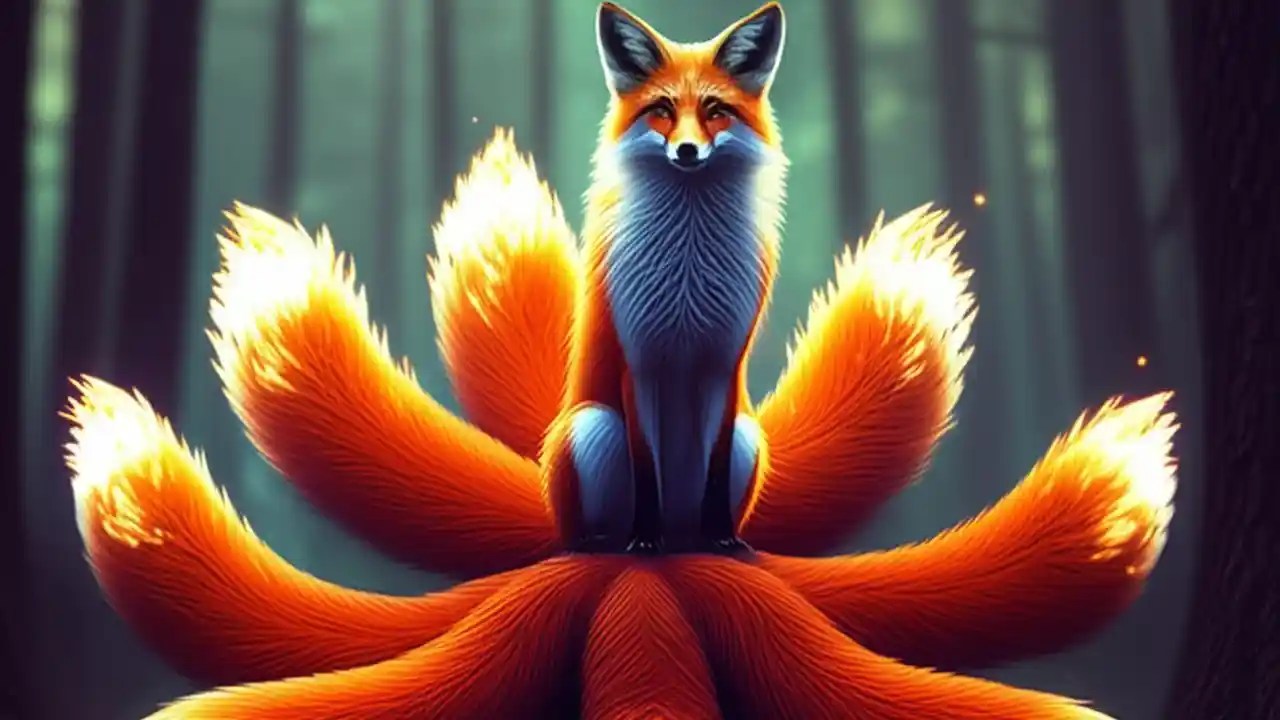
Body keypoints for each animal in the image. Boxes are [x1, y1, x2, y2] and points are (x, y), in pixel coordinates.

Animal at [541, 2, 789, 554]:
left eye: (716, 111)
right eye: (662, 110)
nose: (688, 152)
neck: (686, 275)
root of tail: (682, 530)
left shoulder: (724, 362)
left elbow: (715, 465)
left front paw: (722, 537)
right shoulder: (639, 361)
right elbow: (645, 466)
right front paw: (643, 541)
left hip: (749, 439)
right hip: (594, 427)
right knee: (586, 530)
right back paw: (606, 540)